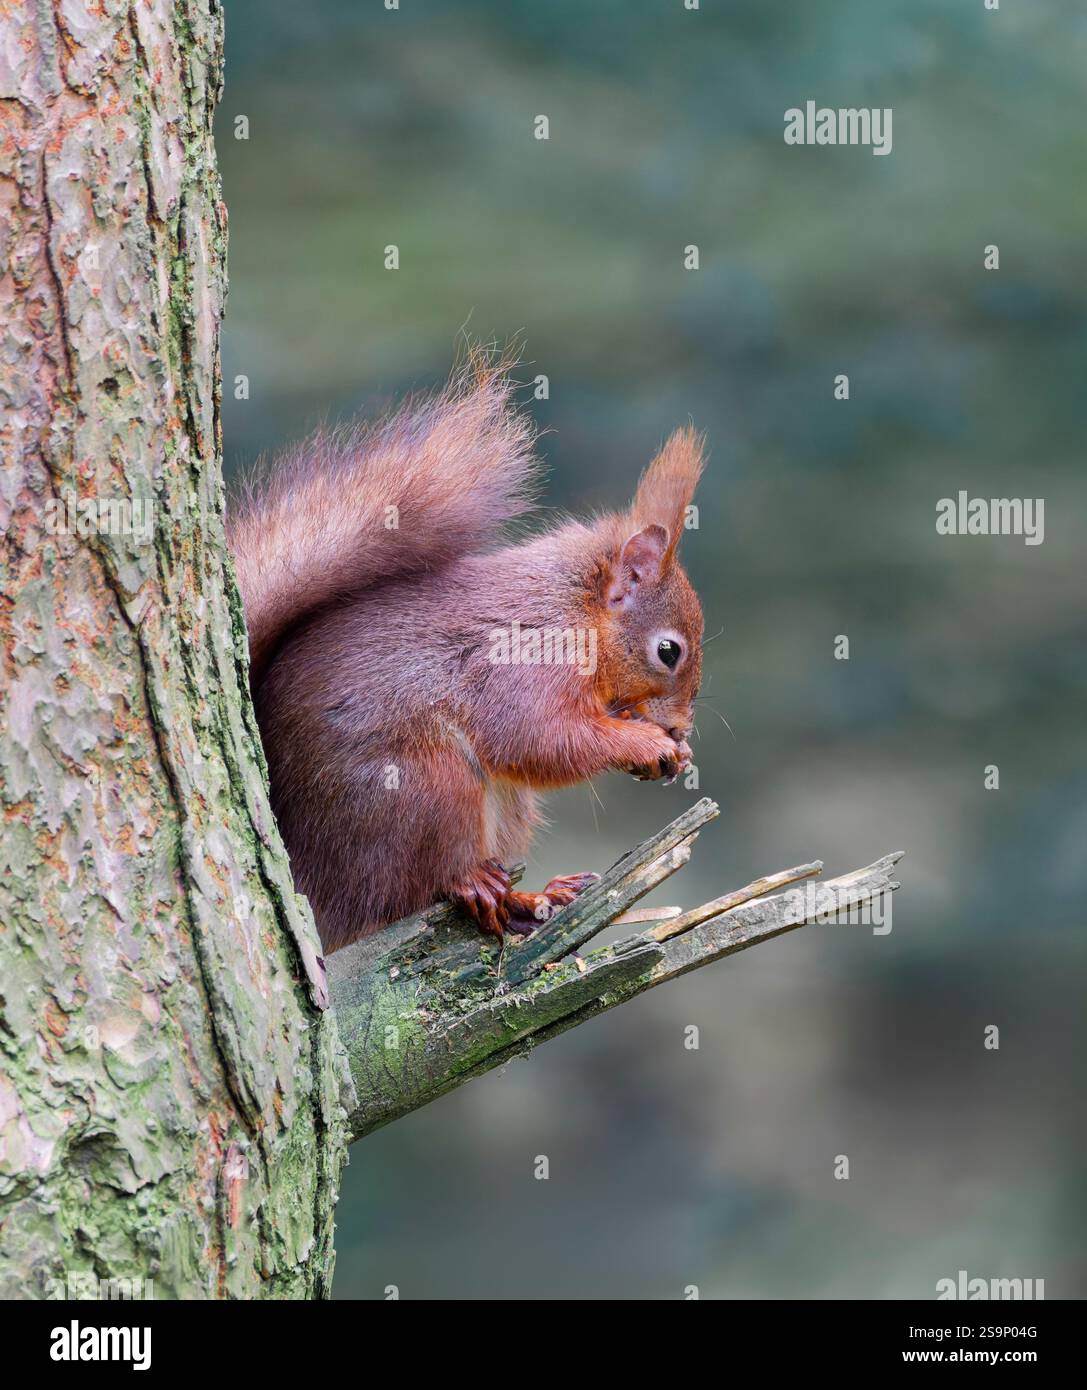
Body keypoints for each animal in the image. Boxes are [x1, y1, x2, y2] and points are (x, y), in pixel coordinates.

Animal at [228, 357, 705, 952]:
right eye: (668, 651)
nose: (682, 728)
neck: (578, 611)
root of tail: (312, 883)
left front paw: (672, 752)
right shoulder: (525, 664)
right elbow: (542, 739)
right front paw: (646, 743)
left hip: (502, 805)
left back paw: (536, 898)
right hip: (425, 784)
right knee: (412, 891)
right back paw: (477, 883)